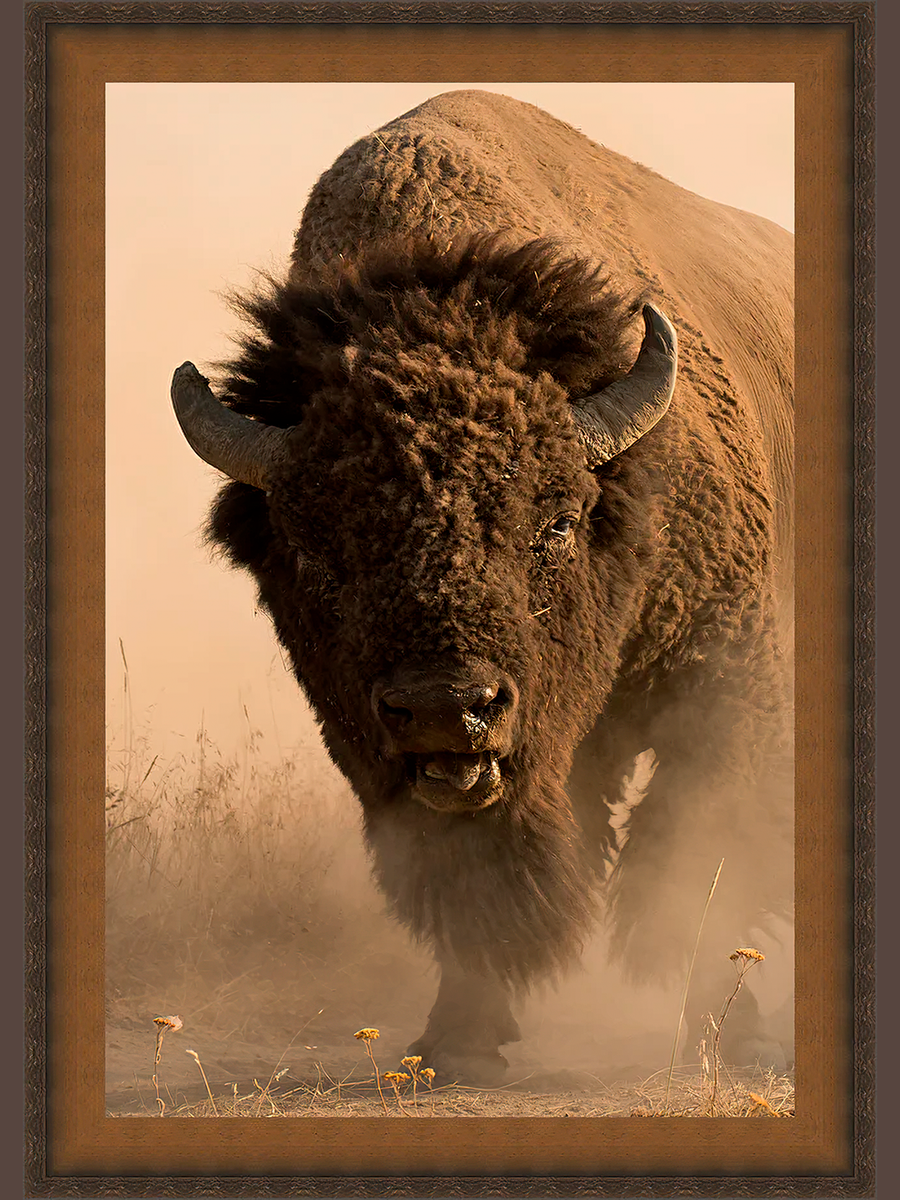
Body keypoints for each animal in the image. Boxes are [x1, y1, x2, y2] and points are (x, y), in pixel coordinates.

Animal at [172, 90, 794, 1083]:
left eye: (559, 522)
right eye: (314, 553)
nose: (446, 708)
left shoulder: (726, 670)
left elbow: (697, 854)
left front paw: (735, 1039)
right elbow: (471, 882)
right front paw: (456, 1043)